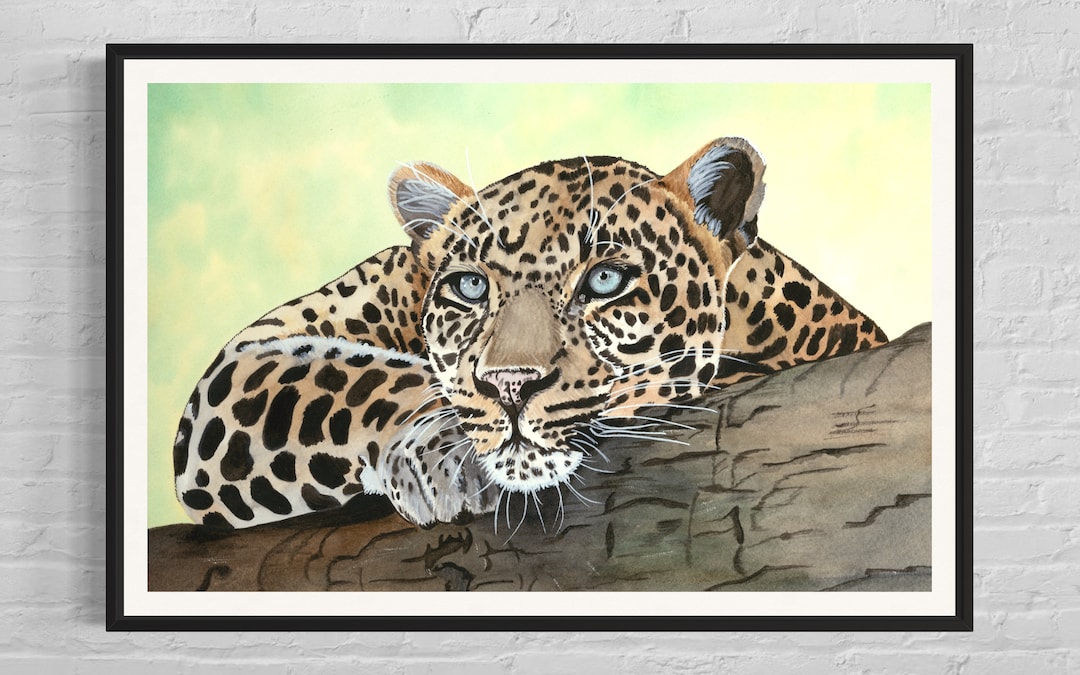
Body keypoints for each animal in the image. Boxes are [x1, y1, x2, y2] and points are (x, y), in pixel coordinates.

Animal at [172, 136, 888, 531]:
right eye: (469, 287)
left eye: (604, 279)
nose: (510, 385)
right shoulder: (244, 359)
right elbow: (350, 374)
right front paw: (442, 449)